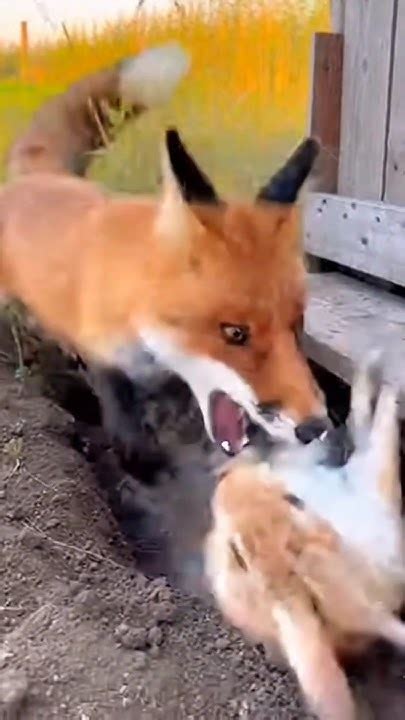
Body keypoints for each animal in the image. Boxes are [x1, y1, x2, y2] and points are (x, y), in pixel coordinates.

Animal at [2, 43, 328, 453]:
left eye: (297, 323)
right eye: (234, 333)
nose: (317, 427)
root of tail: (42, 174)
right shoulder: (107, 365)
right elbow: (132, 443)